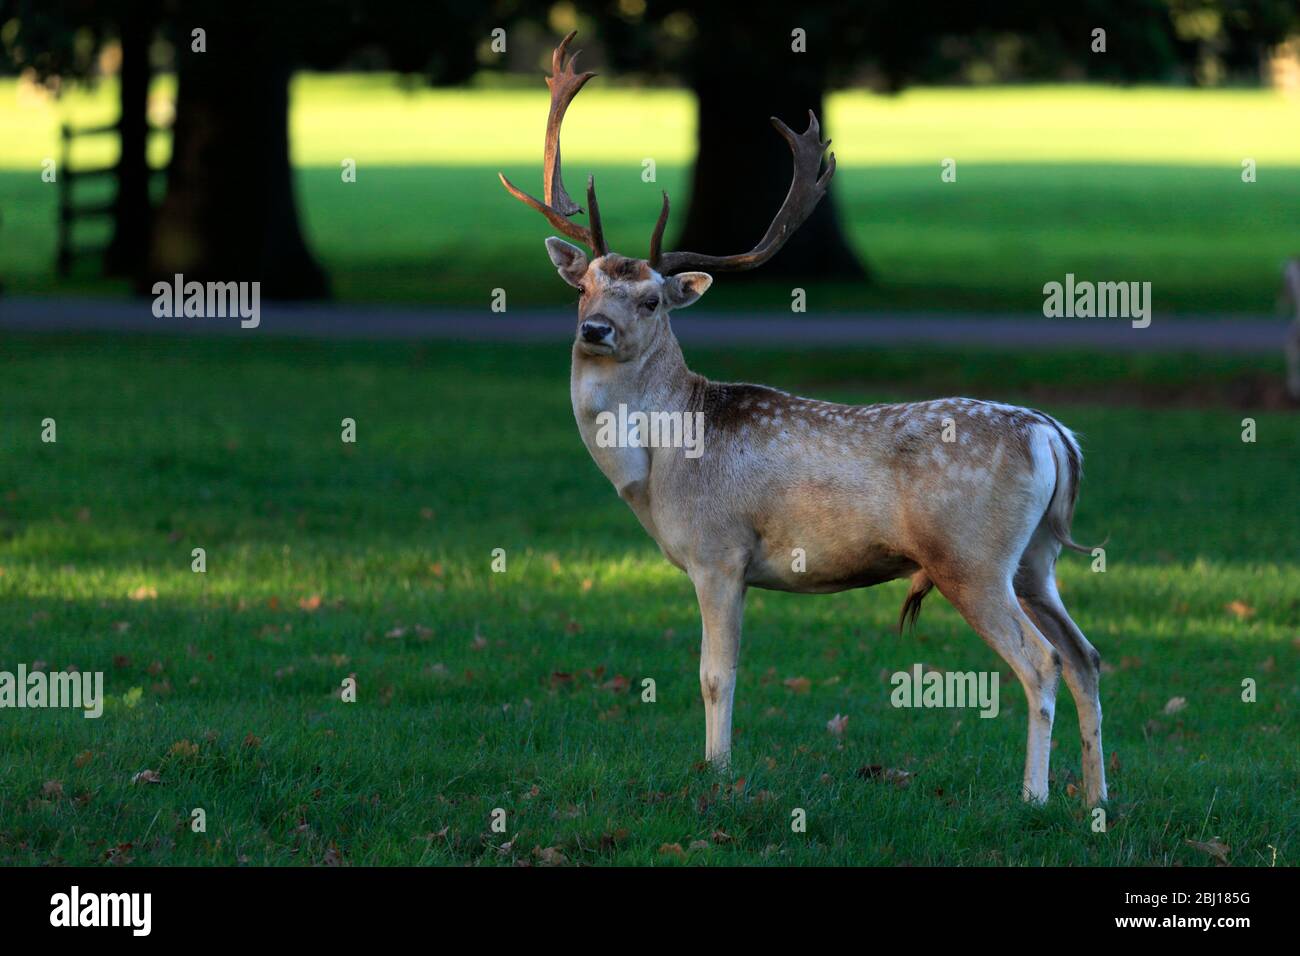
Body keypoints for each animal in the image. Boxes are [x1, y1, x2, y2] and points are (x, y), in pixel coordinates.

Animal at [499, 33, 1107, 806]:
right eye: (585, 288)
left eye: (653, 301)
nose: (595, 330)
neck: (658, 464)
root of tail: (1053, 437)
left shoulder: (719, 551)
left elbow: (715, 673)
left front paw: (717, 774)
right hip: (1036, 557)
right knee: (1086, 655)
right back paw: (1096, 800)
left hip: (972, 556)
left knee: (1041, 661)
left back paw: (1032, 798)